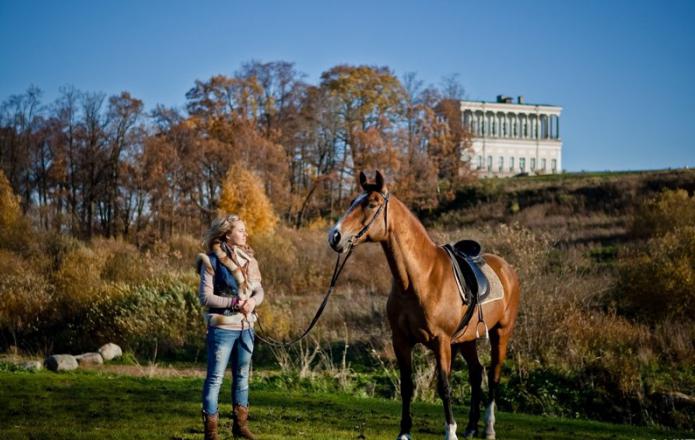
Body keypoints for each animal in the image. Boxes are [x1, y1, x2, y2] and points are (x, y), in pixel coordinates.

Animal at [328, 170, 520, 438]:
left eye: (372, 204)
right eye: (352, 202)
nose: (335, 236)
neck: (420, 277)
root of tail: (507, 268)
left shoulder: (441, 341)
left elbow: (444, 385)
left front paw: (450, 431)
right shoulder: (401, 340)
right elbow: (407, 386)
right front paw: (404, 432)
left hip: (501, 332)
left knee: (493, 374)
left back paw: (488, 427)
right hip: (467, 339)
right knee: (476, 373)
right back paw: (471, 427)